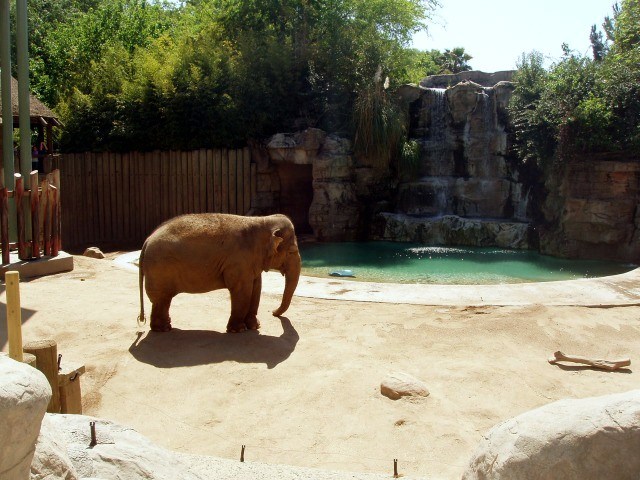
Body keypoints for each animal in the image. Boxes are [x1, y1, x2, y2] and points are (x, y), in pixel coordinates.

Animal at [138, 213, 301, 333]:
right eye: (292, 252)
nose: (273, 312)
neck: (262, 220)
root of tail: (147, 240)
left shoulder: (251, 262)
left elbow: (256, 288)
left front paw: (255, 327)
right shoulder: (238, 261)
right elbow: (242, 291)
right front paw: (238, 330)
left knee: (162, 301)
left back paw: (165, 327)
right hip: (159, 270)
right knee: (162, 299)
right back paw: (163, 329)